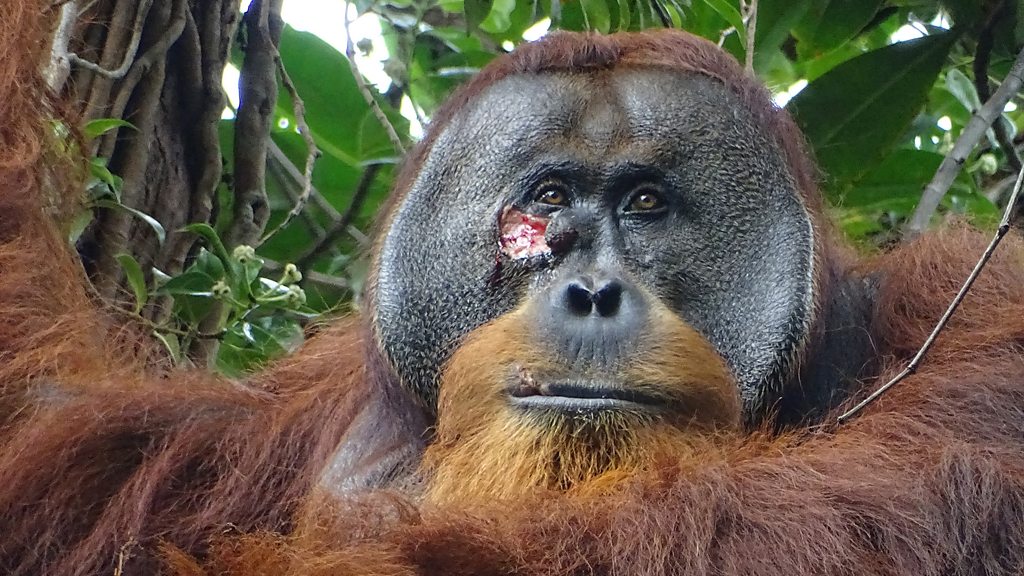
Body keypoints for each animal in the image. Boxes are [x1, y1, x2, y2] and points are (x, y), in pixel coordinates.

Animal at [1, 12, 1023, 575]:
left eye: (645, 204)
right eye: (551, 199)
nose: (592, 289)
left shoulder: (959, 312)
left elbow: (908, 501)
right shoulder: (271, 427)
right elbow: (53, 432)